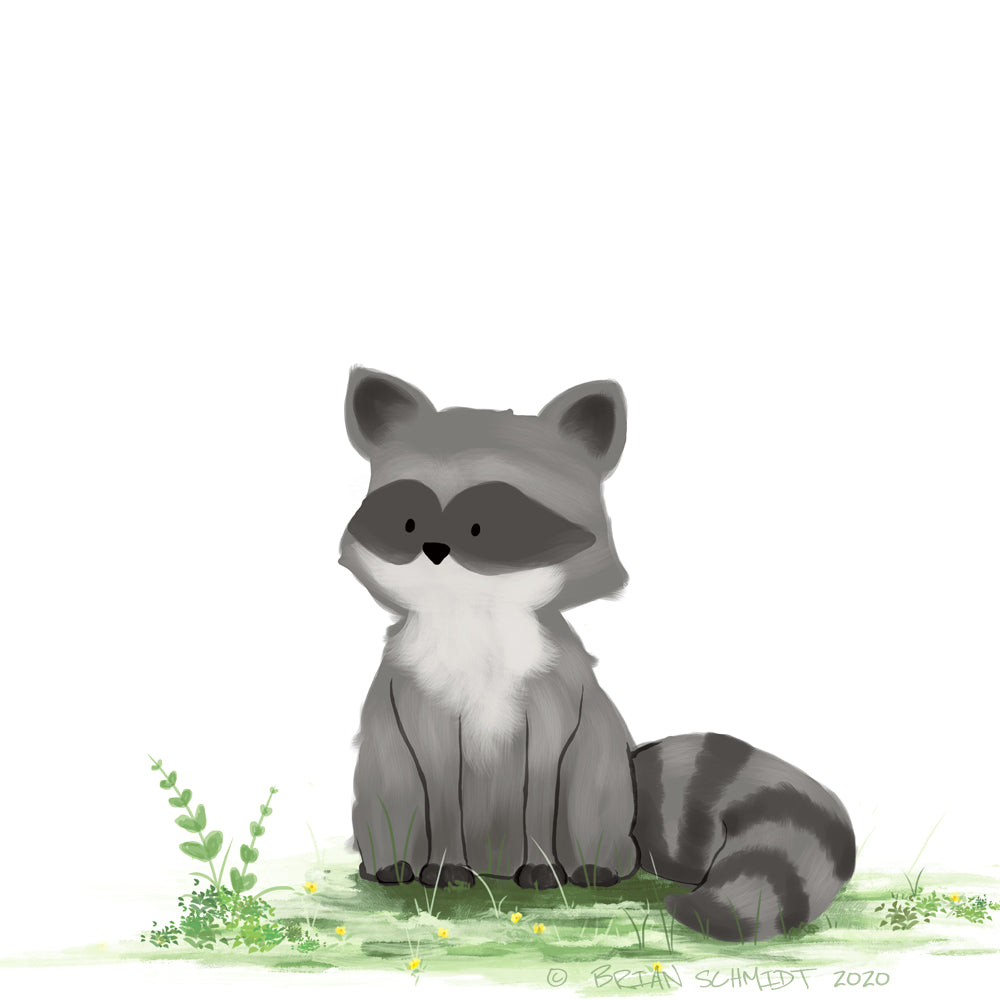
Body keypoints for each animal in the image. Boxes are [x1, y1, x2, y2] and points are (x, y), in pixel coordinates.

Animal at [339, 367, 855, 941]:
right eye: (407, 521)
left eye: (487, 524)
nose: (434, 549)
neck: (474, 618)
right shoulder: (421, 713)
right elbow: (441, 798)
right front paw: (447, 868)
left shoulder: (554, 710)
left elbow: (541, 799)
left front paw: (542, 866)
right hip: (385, 784)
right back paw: (397, 866)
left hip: (599, 779)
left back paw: (588, 867)